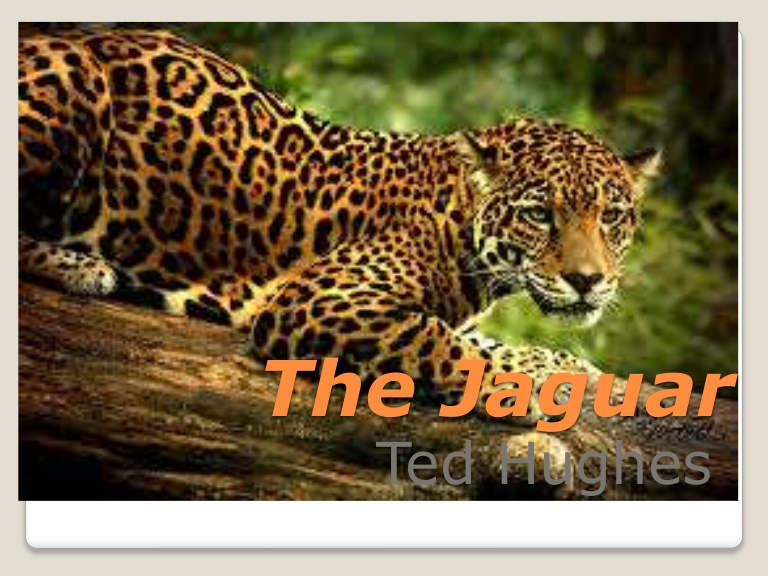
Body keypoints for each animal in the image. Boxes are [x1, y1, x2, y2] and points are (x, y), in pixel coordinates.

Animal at [18, 28, 660, 424]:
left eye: (611, 216)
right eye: (538, 214)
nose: (588, 281)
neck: (457, 220)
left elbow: (487, 341)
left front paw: (573, 368)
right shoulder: (324, 298)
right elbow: (438, 342)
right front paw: (510, 388)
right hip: (73, 80)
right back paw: (80, 265)